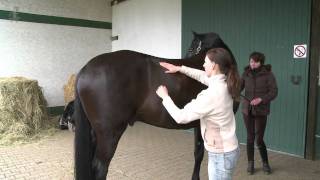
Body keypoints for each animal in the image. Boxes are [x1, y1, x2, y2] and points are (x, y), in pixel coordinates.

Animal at [73, 31, 238, 179]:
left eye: (191, 49)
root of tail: (84, 70)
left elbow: (198, 153)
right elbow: (200, 154)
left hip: (95, 133)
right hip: (109, 134)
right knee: (100, 167)